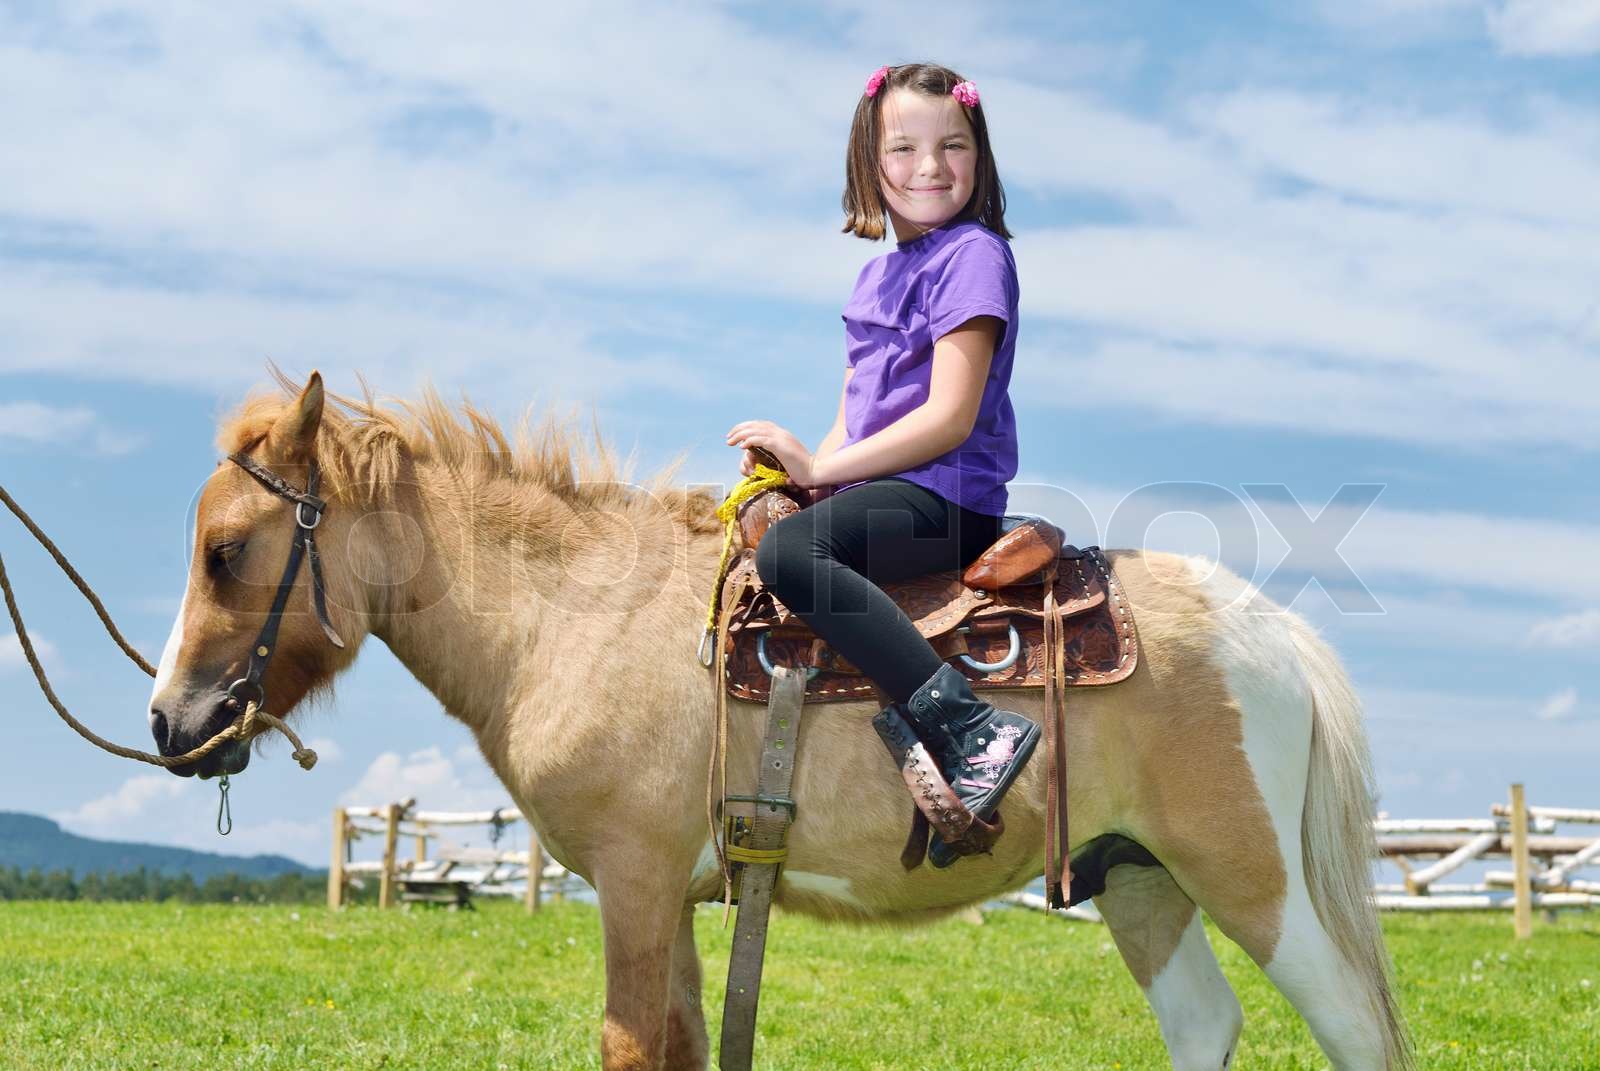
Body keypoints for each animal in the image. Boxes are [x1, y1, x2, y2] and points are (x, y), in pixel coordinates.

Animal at [145, 370, 1411, 1071]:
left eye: (227, 551)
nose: (168, 724)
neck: (577, 610)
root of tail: (1268, 632)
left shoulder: (635, 879)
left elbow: (629, 1046)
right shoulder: (677, 891)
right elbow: (683, 1045)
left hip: (1248, 875)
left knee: (1350, 1024)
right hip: (1134, 875)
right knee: (1201, 1025)